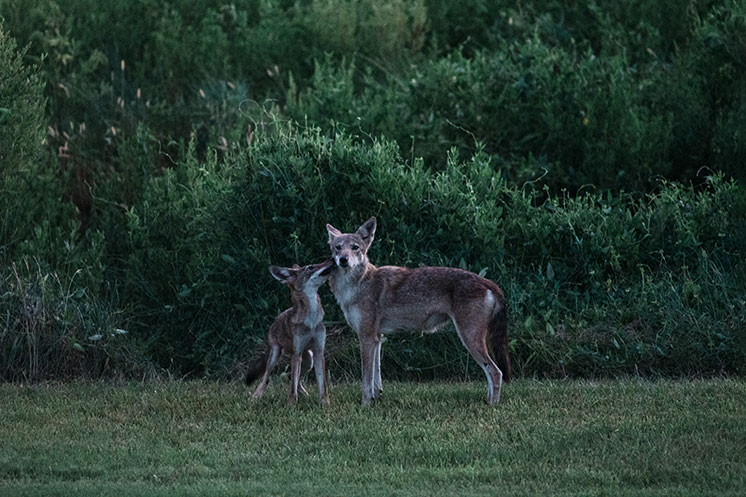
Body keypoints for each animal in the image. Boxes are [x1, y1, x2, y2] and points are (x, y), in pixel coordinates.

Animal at [245, 260, 334, 405]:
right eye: (310, 267)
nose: (331, 259)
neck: (311, 320)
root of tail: (276, 319)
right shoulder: (297, 355)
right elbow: (292, 389)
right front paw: (291, 405)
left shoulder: (319, 352)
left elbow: (323, 386)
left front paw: (325, 404)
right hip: (276, 356)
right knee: (266, 379)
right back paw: (255, 397)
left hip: (308, 360)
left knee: (291, 377)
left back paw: (306, 395)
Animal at [326, 217, 511, 406]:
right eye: (338, 247)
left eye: (355, 247)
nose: (343, 259)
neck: (357, 285)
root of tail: (486, 281)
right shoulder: (377, 339)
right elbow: (376, 379)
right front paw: (376, 399)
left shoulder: (367, 338)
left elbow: (365, 381)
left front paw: (365, 406)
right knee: (492, 373)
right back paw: (487, 400)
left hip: (469, 339)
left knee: (496, 372)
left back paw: (493, 405)